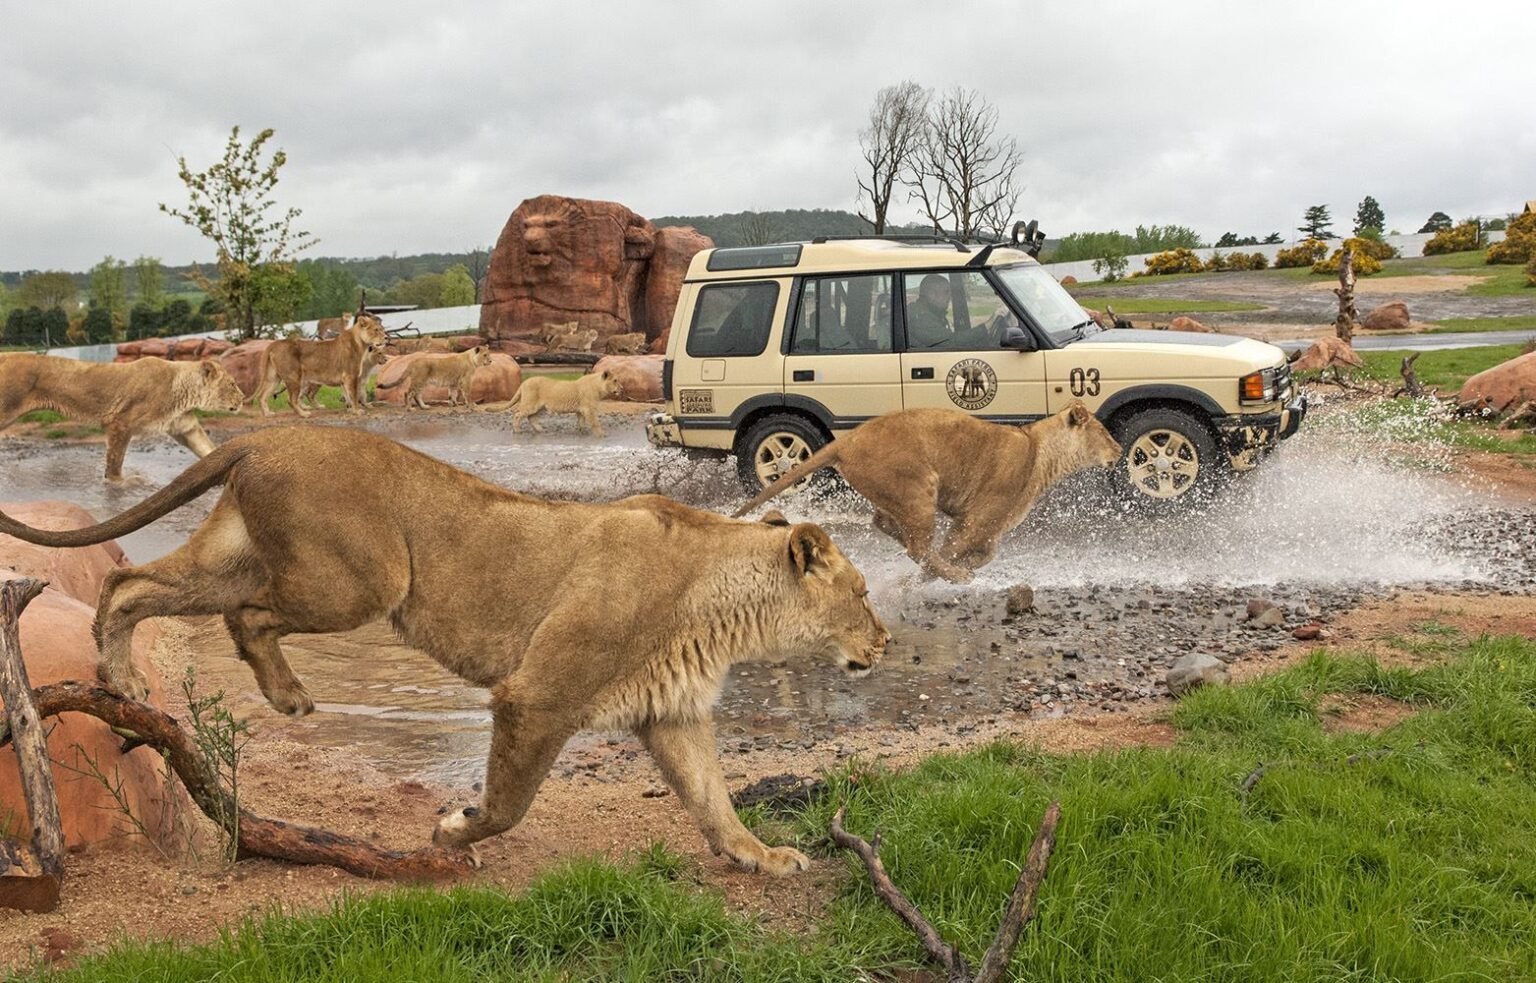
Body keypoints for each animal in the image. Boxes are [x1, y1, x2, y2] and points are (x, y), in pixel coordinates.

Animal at [0, 353, 244, 479]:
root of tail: (8, 354)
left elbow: (207, 449)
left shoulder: (185, 427)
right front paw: (120, 484)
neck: (183, 391)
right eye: (232, 384)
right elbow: (115, 462)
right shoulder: (120, 423)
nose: (243, 399)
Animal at [0, 426, 890, 872]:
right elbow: (508, 804)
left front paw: (760, 855)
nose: (883, 641)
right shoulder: (537, 696)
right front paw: (451, 831)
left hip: (236, 559)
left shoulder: (670, 713)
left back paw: (121, 683)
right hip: (361, 580)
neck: (723, 598)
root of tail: (265, 432)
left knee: (130, 584)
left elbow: (713, 797)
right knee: (245, 618)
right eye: (863, 592)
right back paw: (283, 695)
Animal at [731, 402, 1118, 583]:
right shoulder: (974, 520)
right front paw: (931, 578)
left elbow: (988, 554)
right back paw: (955, 576)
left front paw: (963, 565)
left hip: (896, 493)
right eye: (1103, 432)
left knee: (885, 523)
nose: (1117, 449)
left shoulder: (986, 528)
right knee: (917, 546)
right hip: (918, 489)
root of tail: (847, 440)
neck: (1040, 452)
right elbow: (953, 550)